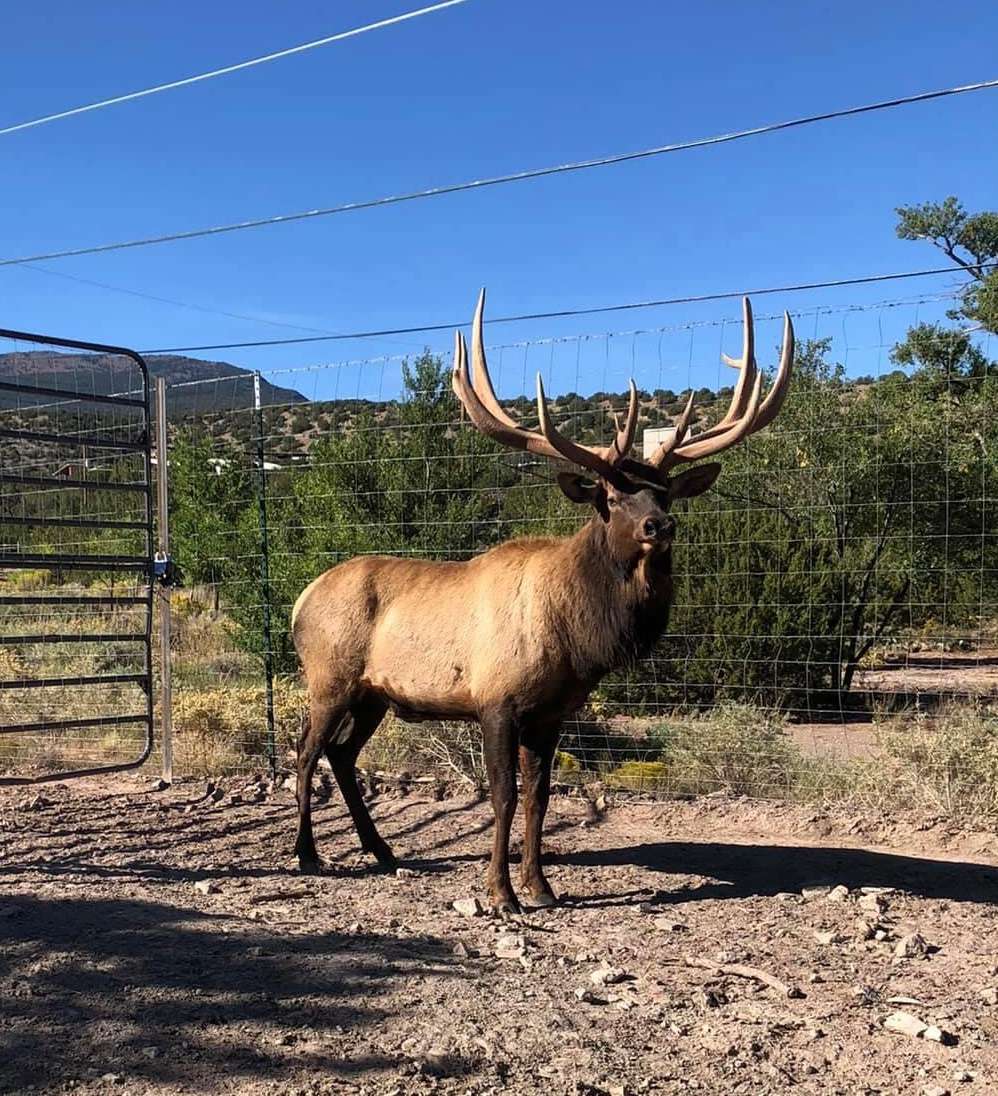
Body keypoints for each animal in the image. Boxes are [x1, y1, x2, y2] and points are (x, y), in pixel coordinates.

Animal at [291, 290, 794, 913]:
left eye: (666, 492)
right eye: (610, 496)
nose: (660, 525)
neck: (578, 639)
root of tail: (299, 601)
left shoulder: (552, 711)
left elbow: (541, 795)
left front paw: (542, 886)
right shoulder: (496, 699)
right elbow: (502, 796)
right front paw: (501, 892)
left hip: (373, 695)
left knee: (342, 754)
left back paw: (383, 850)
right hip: (329, 676)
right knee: (305, 750)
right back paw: (308, 855)